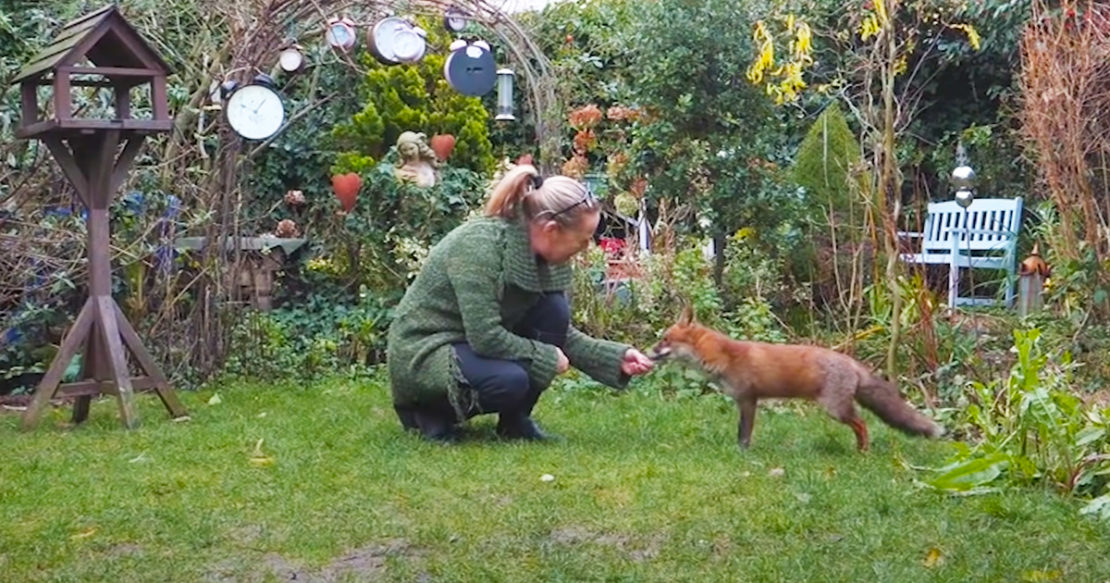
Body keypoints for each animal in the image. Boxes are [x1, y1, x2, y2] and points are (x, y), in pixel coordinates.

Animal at [648, 306, 944, 452]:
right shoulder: (745, 401)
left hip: (835, 409)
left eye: (665, 339)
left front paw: (742, 454)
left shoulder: (748, 400)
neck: (724, 356)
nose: (649, 352)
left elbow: (744, 434)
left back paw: (863, 452)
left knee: (862, 424)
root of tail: (850, 361)